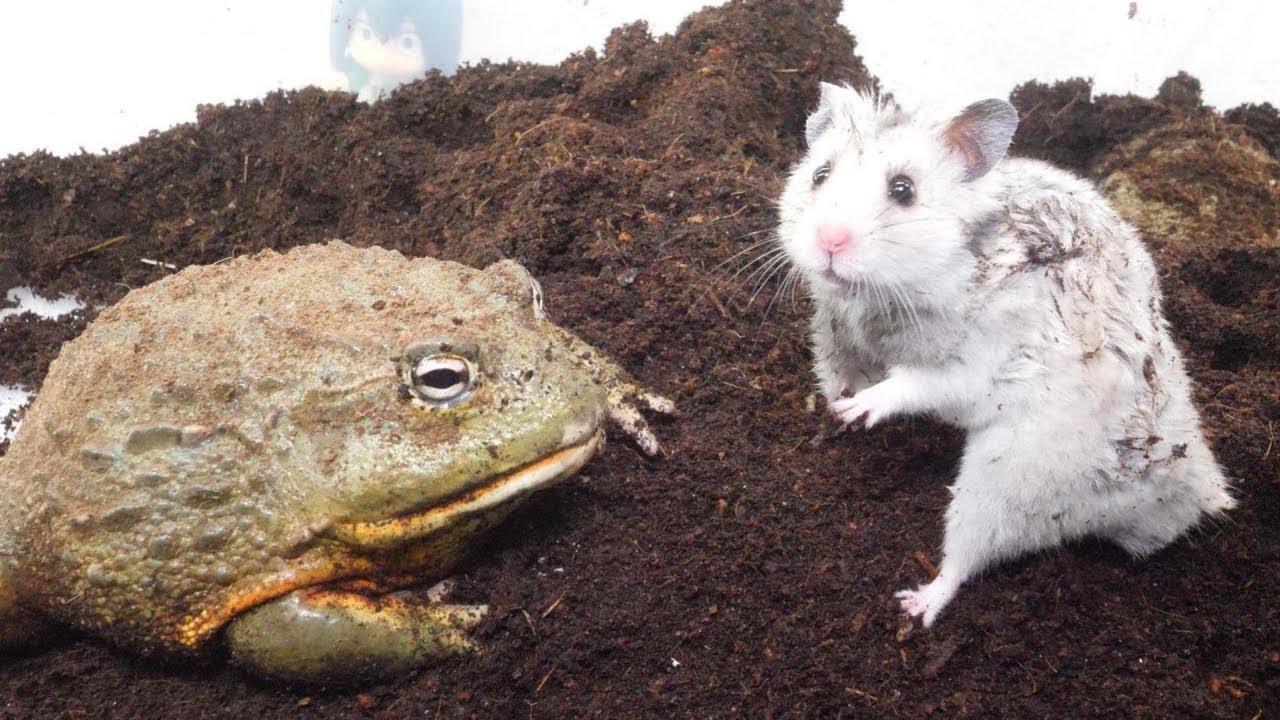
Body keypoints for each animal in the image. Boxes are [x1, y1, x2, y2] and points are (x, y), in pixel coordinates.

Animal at [777, 83, 1235, 627]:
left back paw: (916, 607)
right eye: (819, 174)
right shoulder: (836, 338)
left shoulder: (976, 366)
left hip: (1006, 480)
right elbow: (840, 380)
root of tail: (1188, 491)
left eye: (903, 190)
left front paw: (858, 411)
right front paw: (833, 419)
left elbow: (912, 384)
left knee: (966, 559)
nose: (828, 241)